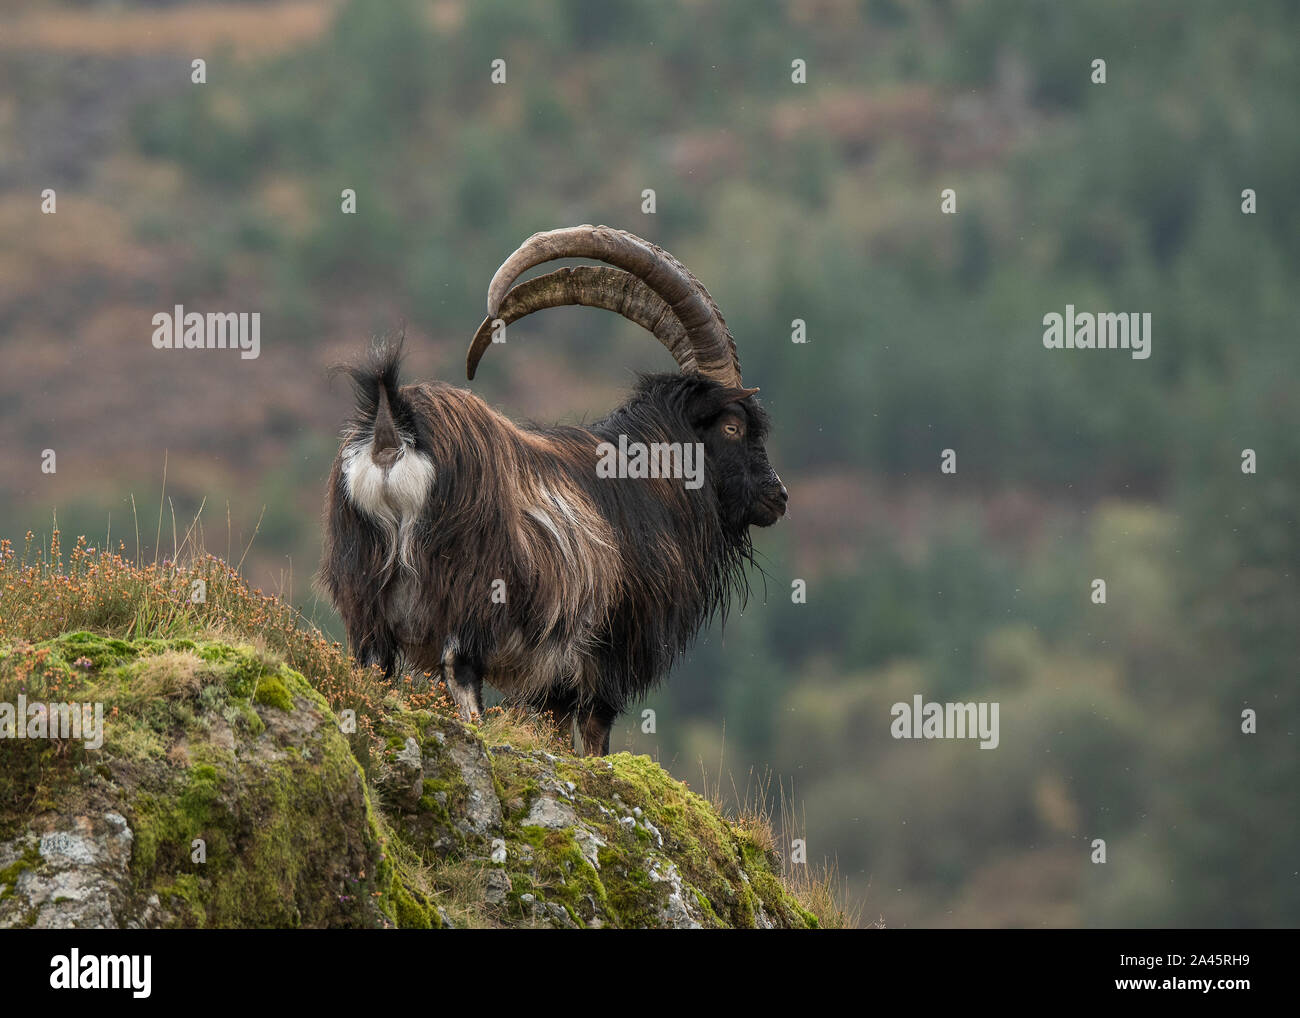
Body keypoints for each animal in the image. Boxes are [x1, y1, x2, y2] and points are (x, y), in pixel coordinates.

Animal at [320, 225, 787, 755]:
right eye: (732, 426)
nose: (777, 497)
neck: (647, 473)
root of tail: (392, 429)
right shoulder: (611, 645)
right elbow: (596, 727)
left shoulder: (556, 674)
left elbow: (558, 724)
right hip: (471, 589)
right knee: (459, 667)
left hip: (366, 592)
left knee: (372, 668)